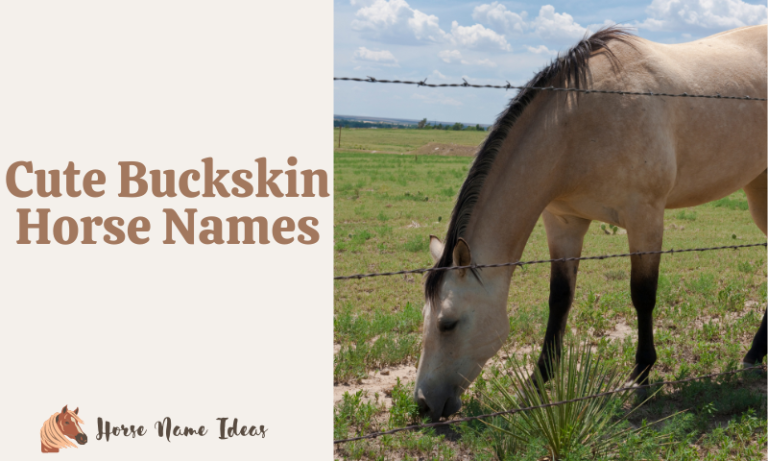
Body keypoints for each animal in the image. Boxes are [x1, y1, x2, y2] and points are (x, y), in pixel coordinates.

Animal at [414, 25, 767, 422]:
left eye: (448, 323)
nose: (423, 403)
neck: (582, 121)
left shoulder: (645, 217)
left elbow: (643, 295)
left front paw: (640, 376)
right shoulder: (564, 222)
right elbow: (559, 299)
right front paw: (538, 381)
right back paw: (754, 355)